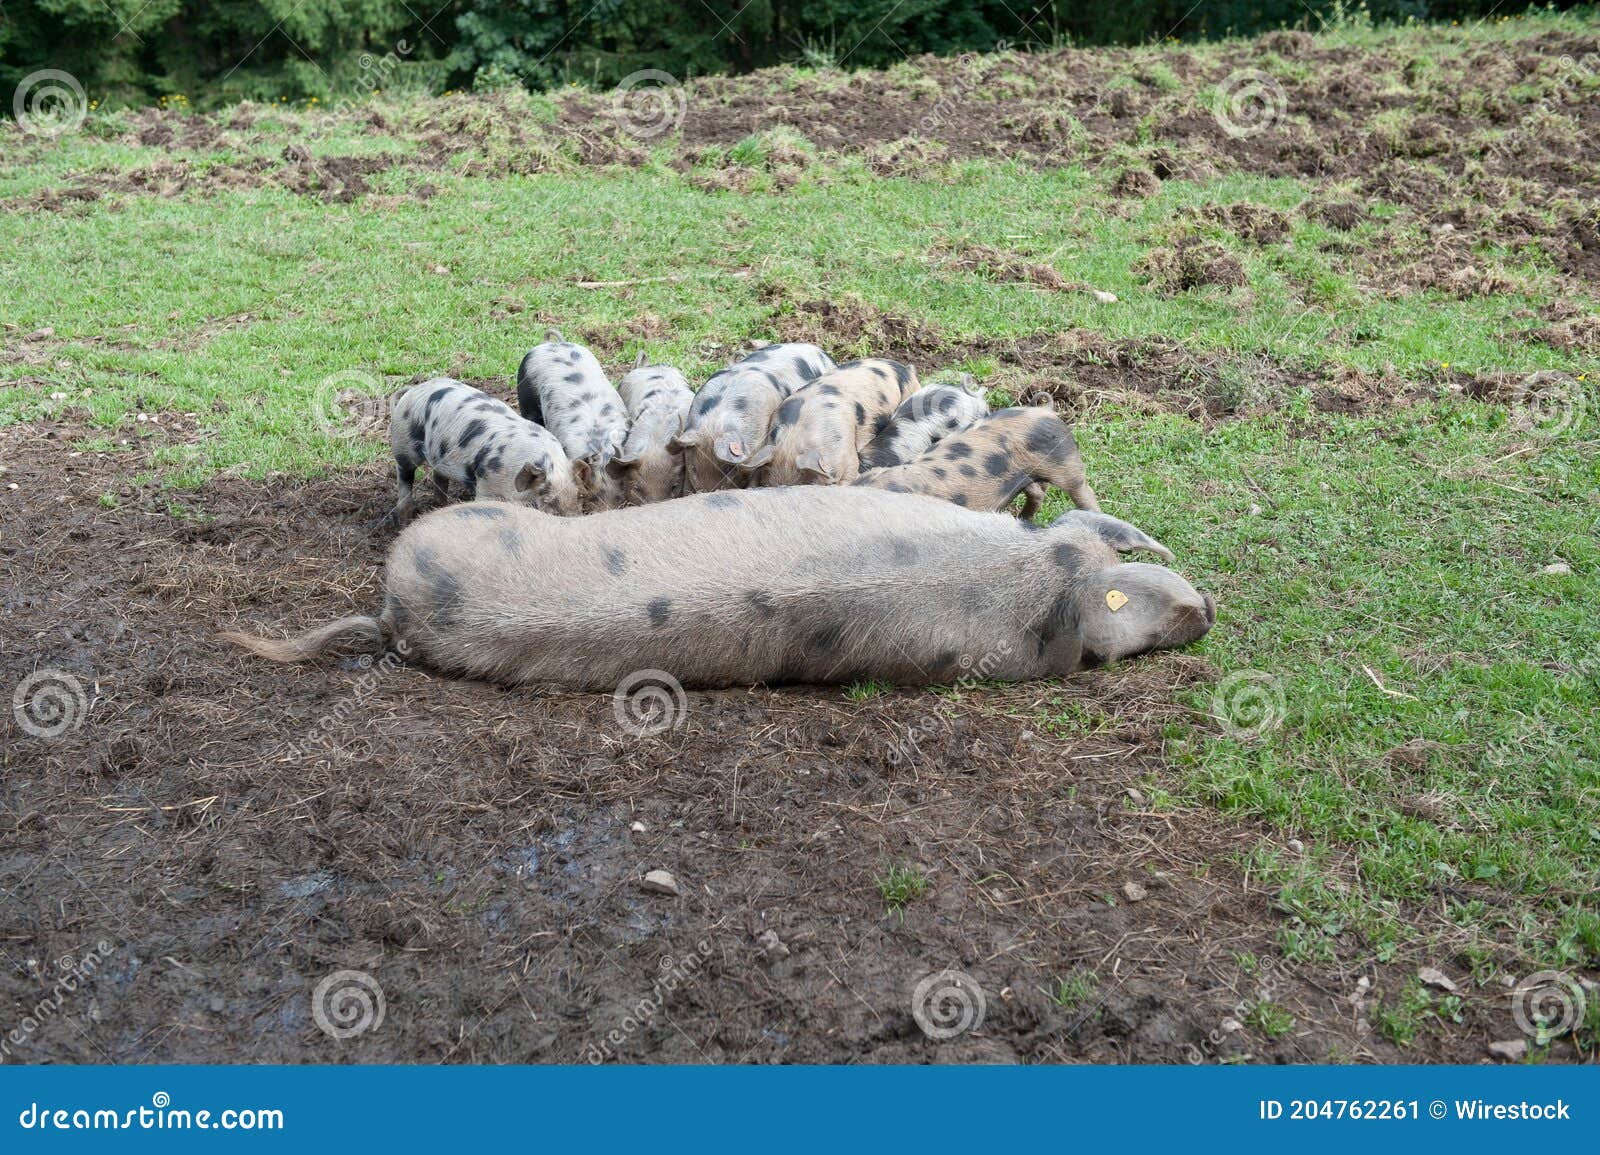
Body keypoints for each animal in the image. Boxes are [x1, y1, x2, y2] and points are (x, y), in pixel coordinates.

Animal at [385, 378, 583, 523]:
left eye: (577, 494)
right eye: (548, 500)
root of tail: (412, 391)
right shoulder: (487, 484)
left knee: (439, 477)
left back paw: (441, 505)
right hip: (403, 444)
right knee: (404, 477)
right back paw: (404, 519)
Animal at [515, 329, 629, 510]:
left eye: (620, 493)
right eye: (592, 494)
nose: (606, 509)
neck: (600, 443)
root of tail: (552, 344)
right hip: (525, 393)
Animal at [855, 406, 1099, 520]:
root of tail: (1045, 410)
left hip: (1066, 460)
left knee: (1083, 490)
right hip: (1026, 474)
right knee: (1037, 493)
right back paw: (1022, 519)